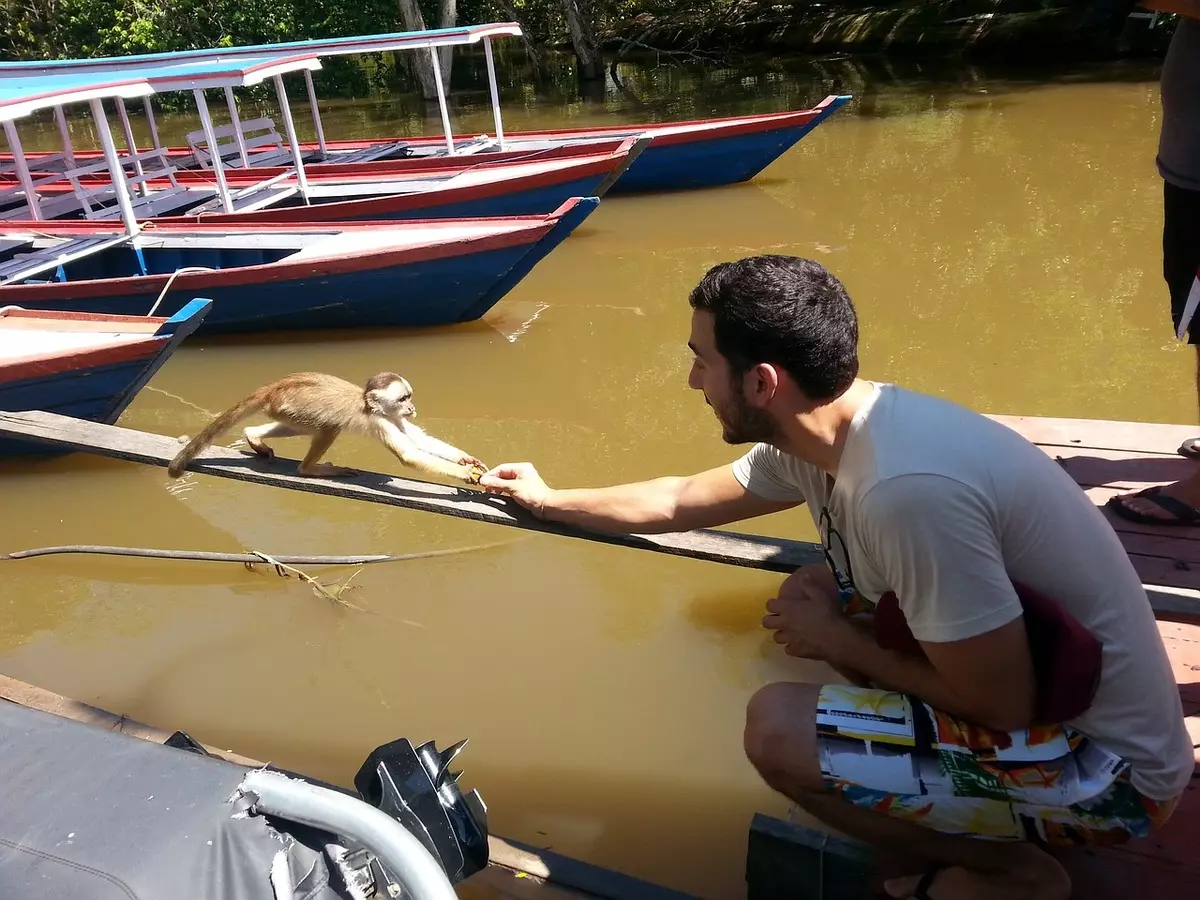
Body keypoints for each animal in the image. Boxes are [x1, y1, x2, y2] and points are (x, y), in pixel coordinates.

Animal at [165, 374, 487, 487]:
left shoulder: (393, 419)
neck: (373, 407)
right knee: (329, 426)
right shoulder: (380, 421)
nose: (412, 407)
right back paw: (310, 469)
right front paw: (464, 473)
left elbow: (419, 441)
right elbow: (410, 455)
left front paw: (465, 459)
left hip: (285, 410)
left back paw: (253, 434)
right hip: (293, 406)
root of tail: (277, 386)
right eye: (403, 398)